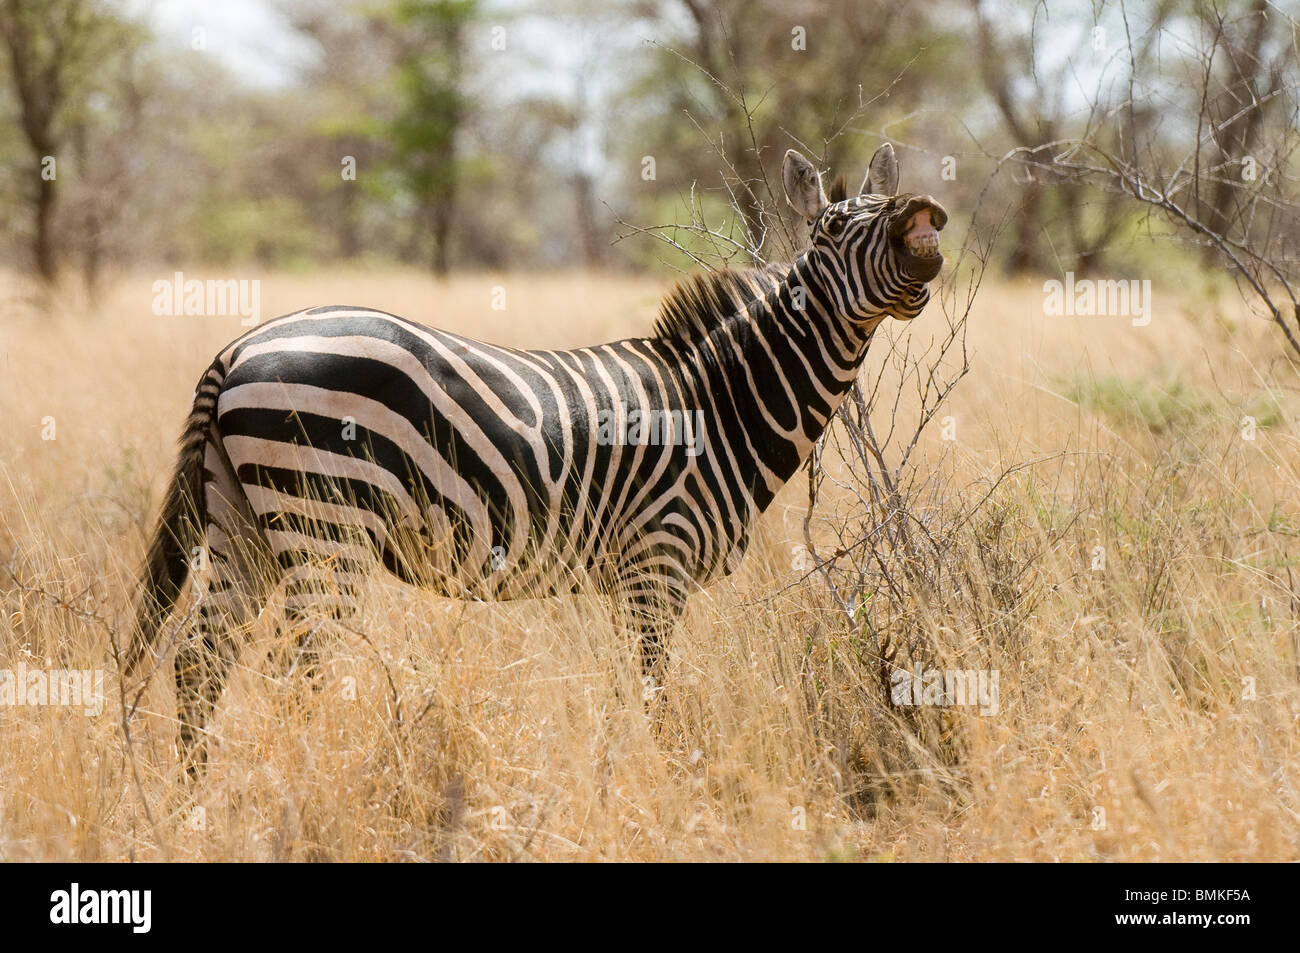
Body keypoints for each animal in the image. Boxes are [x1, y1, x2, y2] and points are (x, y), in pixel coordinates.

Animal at [127, 144, 948, 774]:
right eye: (832, 229)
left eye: (883, 208)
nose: (923, 214)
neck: (720, 402)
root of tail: (240, 344)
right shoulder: (659, 557)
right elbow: (653, 693)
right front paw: (663, 782)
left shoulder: (632, 577)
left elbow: (625, 691)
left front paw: (620, 776)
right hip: (324, 524)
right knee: (298, 668)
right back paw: (312, 783)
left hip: (243, 524)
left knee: (199, 660)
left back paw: (193, 795)